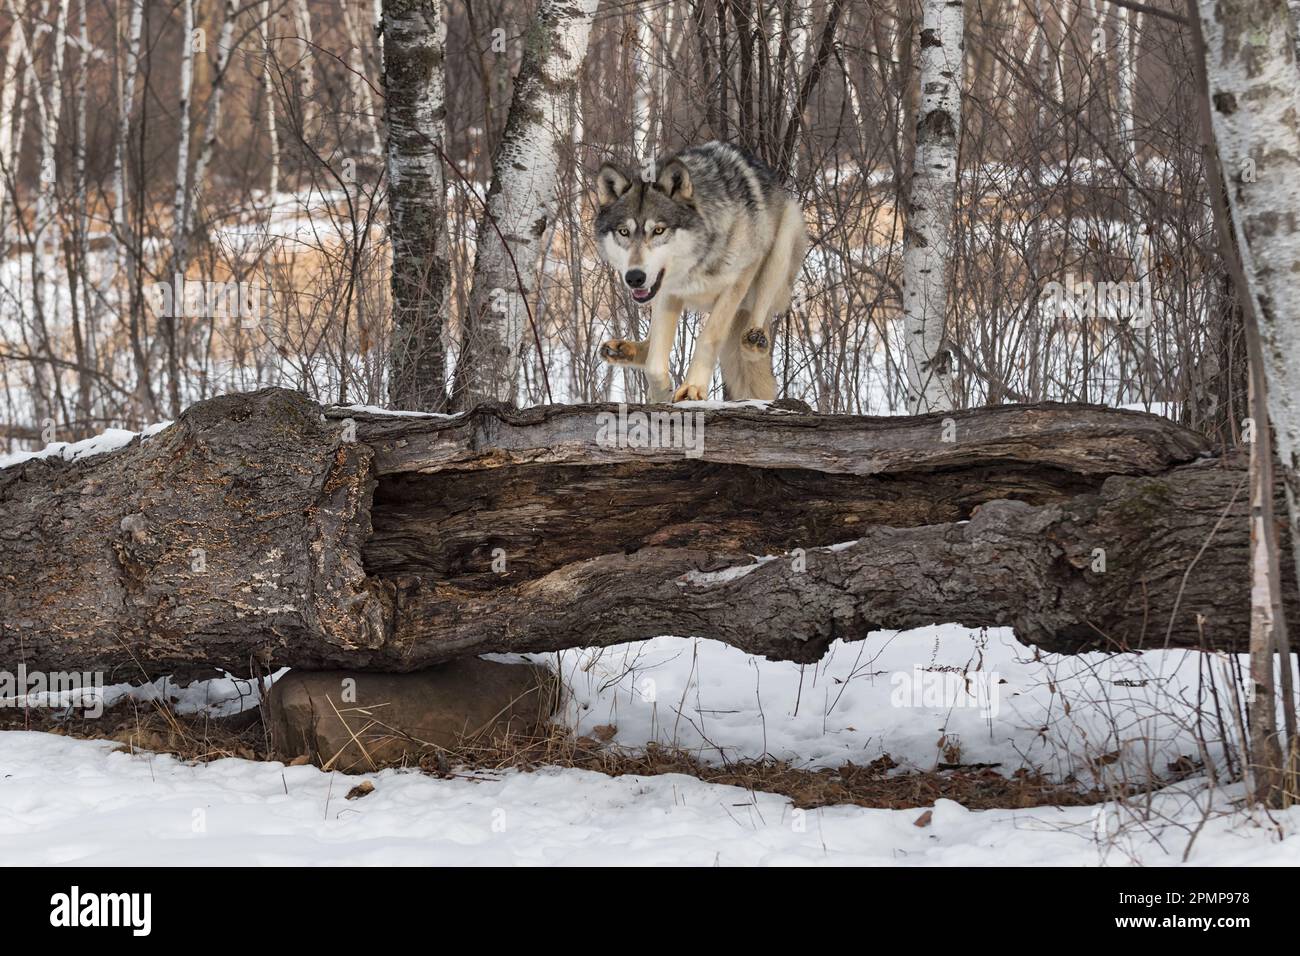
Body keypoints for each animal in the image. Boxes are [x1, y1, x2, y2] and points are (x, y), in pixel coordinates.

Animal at [594, 142, 807, 403]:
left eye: (658, 230)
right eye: (624, 232)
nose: (634, 277)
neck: (699, 259)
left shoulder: (738, 281)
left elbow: (708, 337)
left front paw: (693, 387)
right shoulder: (668, 289)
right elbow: (655, 362)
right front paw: (662, 393)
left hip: (786, 233)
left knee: (758, 321)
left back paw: (755, 340)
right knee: (650, 346)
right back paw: (624, 350)